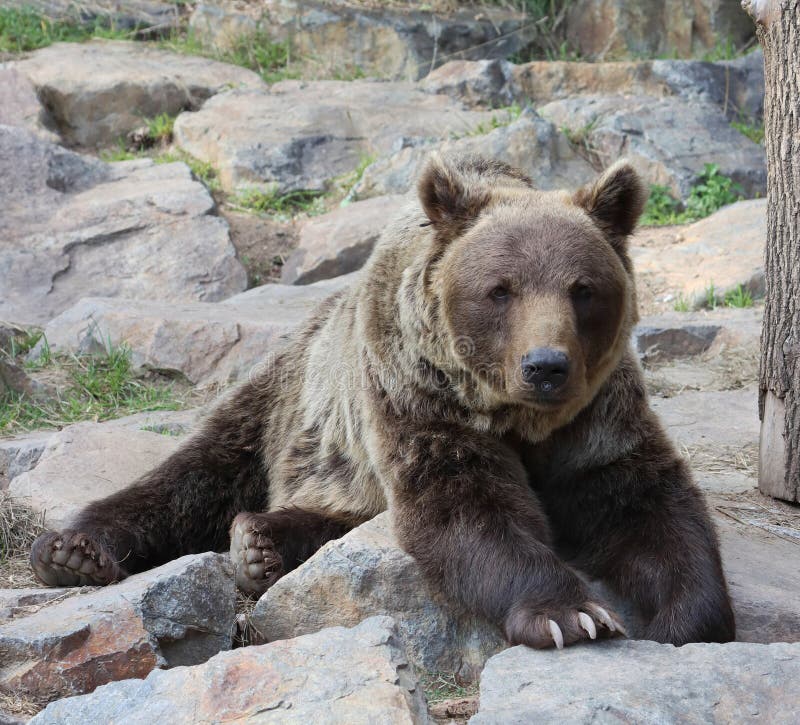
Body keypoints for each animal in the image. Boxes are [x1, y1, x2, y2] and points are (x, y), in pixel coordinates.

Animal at [30, 154, 735, 650]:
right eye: (500, 289)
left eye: (582, 289)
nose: (545, 366)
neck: (520, 418)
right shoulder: (418, 391)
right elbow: (464, 508)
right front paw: (570, 614)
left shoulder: (597, 417)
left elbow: (644, 500)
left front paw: (686, 620)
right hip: (290, 401)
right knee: (197, 474)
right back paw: (74, 549)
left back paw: (261, 544)